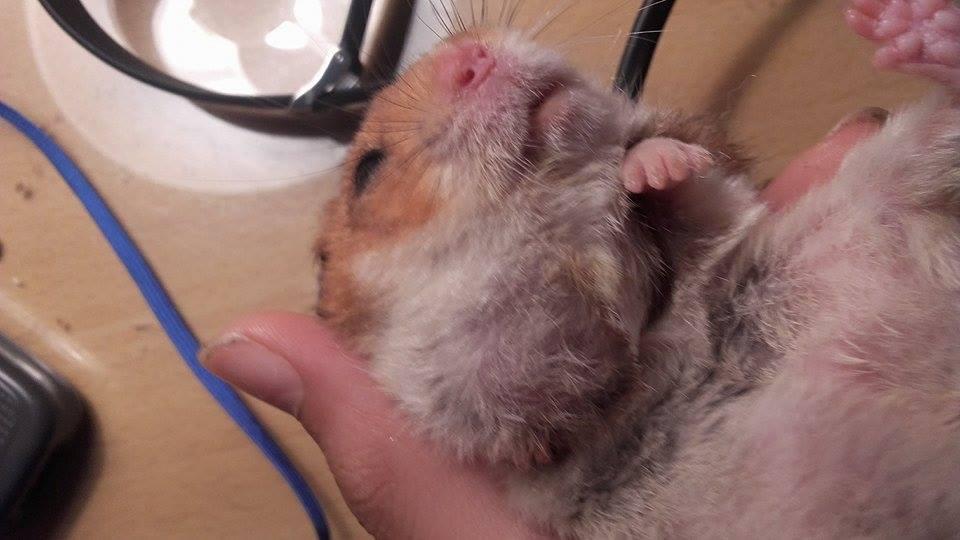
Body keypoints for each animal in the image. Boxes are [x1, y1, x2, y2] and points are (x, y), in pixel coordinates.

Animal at [315, 0, 960, 537]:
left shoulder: (723, 222)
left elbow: (695, 188)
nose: (472, 57)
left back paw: (914, 27)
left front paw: (649, 164)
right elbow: (519, 336)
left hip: (890, 188)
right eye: (368, 168)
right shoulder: (499, 398)